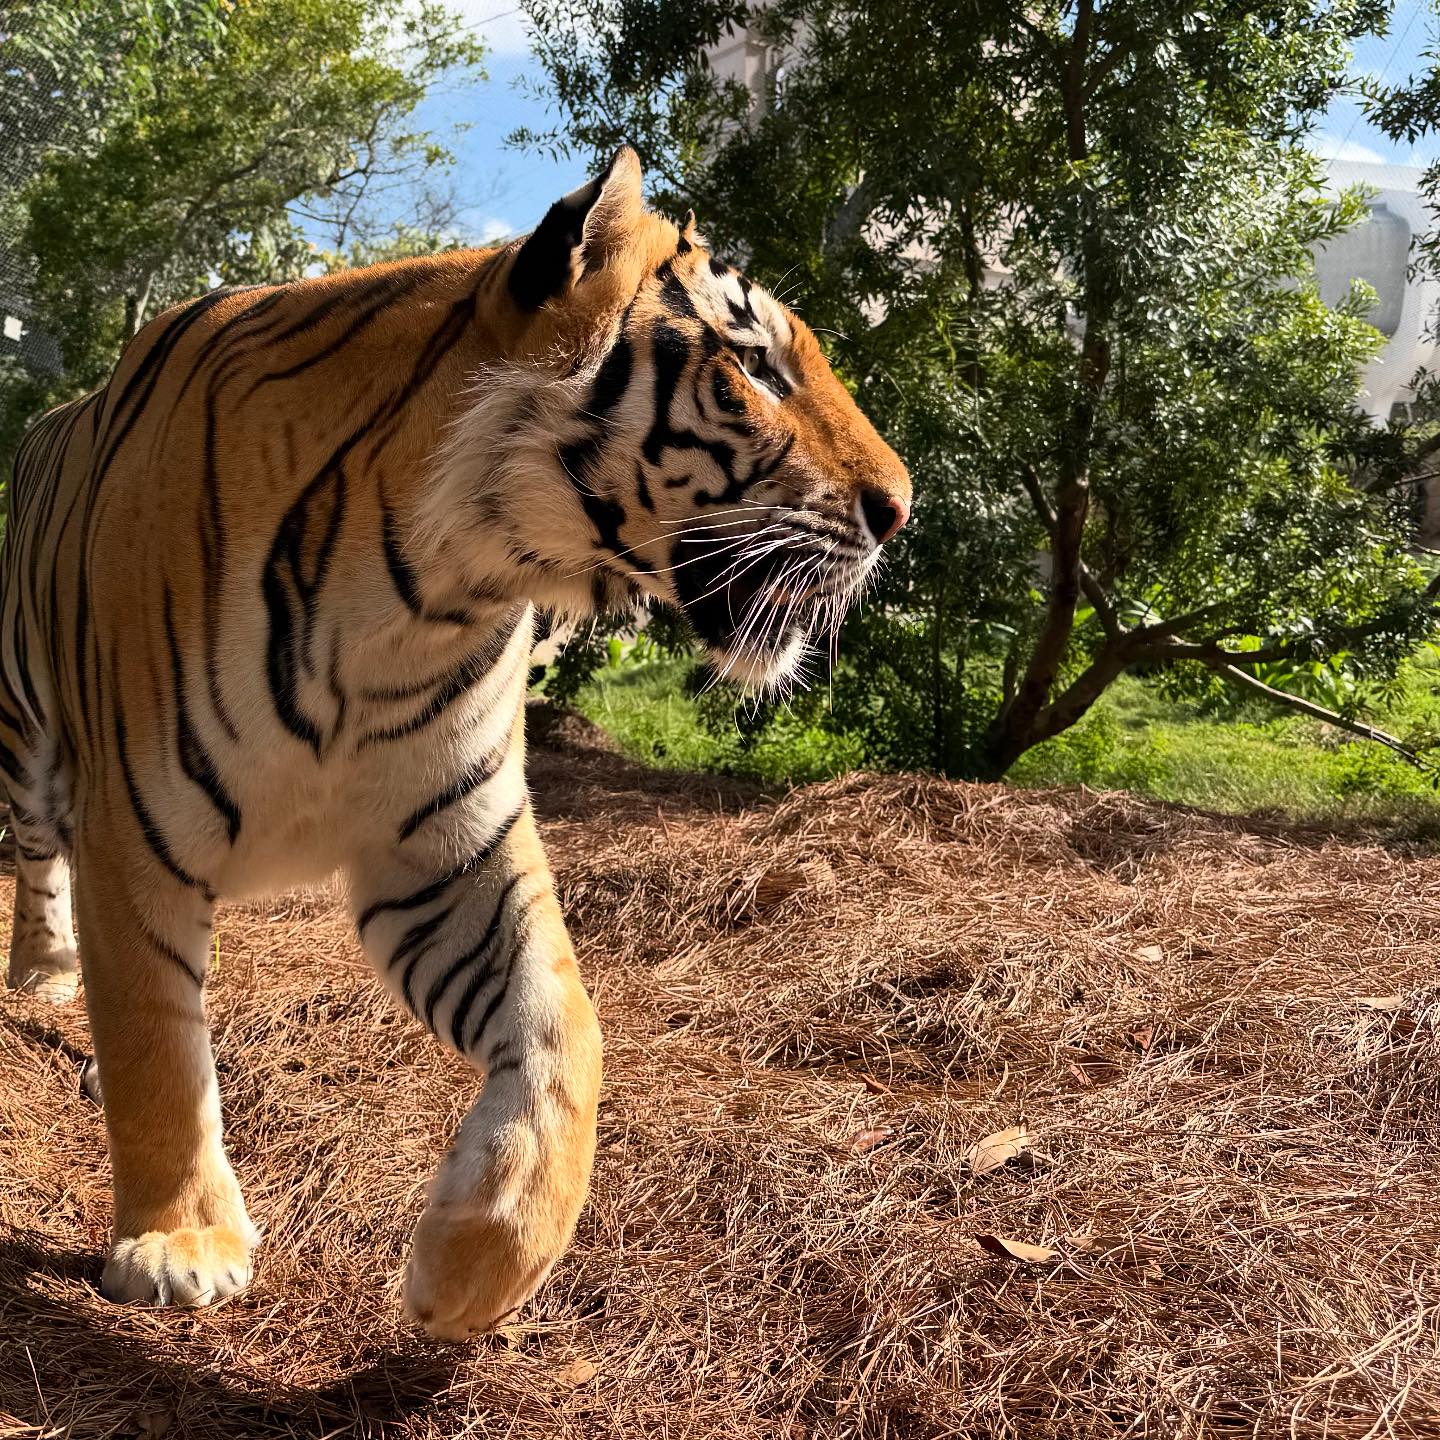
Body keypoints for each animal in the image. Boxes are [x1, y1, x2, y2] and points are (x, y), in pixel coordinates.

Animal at [0, 147, 910, 1339]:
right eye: (754, 366)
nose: (902, 509)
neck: (430, 586)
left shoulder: (444, 846)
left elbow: (566, 1025)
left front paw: (477, 1262)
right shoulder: (138, 834)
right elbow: (156, 1042)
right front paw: (179, 1241)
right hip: (25, 737)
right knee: (40, 864)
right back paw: (44, 971)